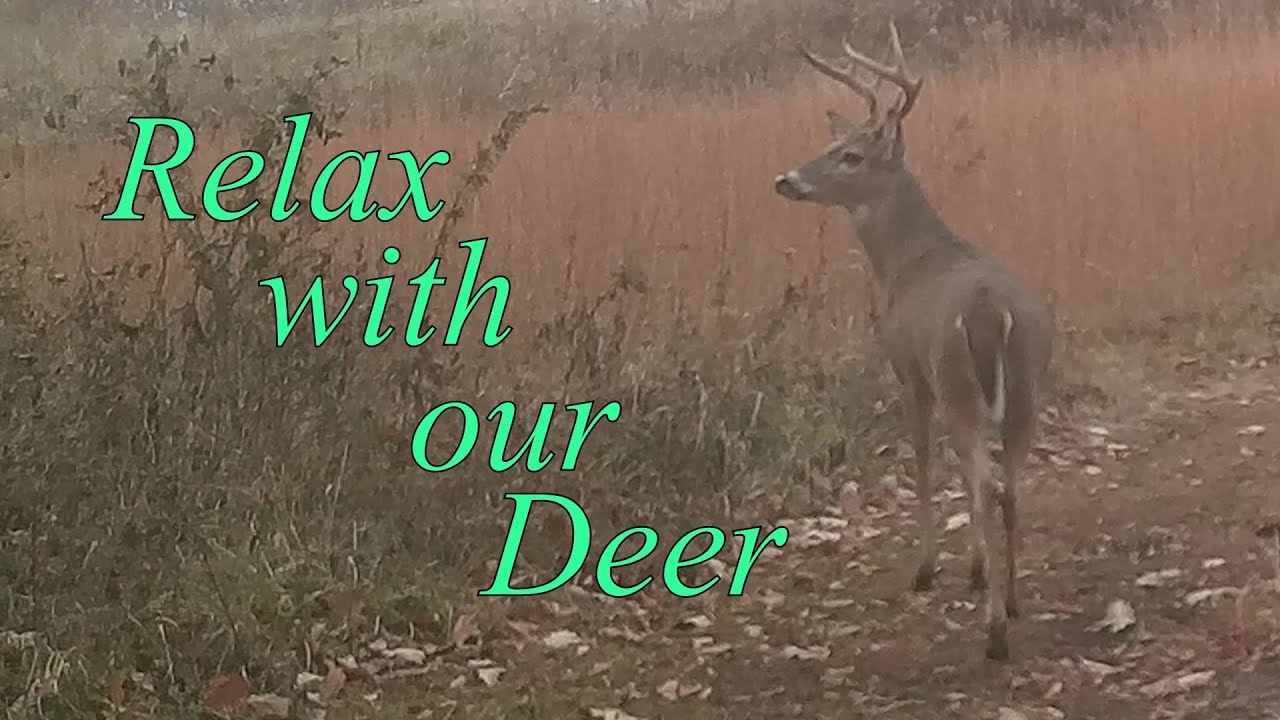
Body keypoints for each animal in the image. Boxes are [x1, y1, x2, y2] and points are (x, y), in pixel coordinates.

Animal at [773, 21, 1054, 661]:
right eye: (836, 142)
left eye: (851, 154)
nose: (786, 180)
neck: (905, 258)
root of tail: (990, 311)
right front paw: (976, 570)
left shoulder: (907, 369)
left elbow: (923, 461)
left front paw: (928, 570)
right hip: (1023, 386)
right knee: (1008, 485)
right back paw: (1013, 601)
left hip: (955, 379)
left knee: (984, 480)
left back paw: (993, 631)